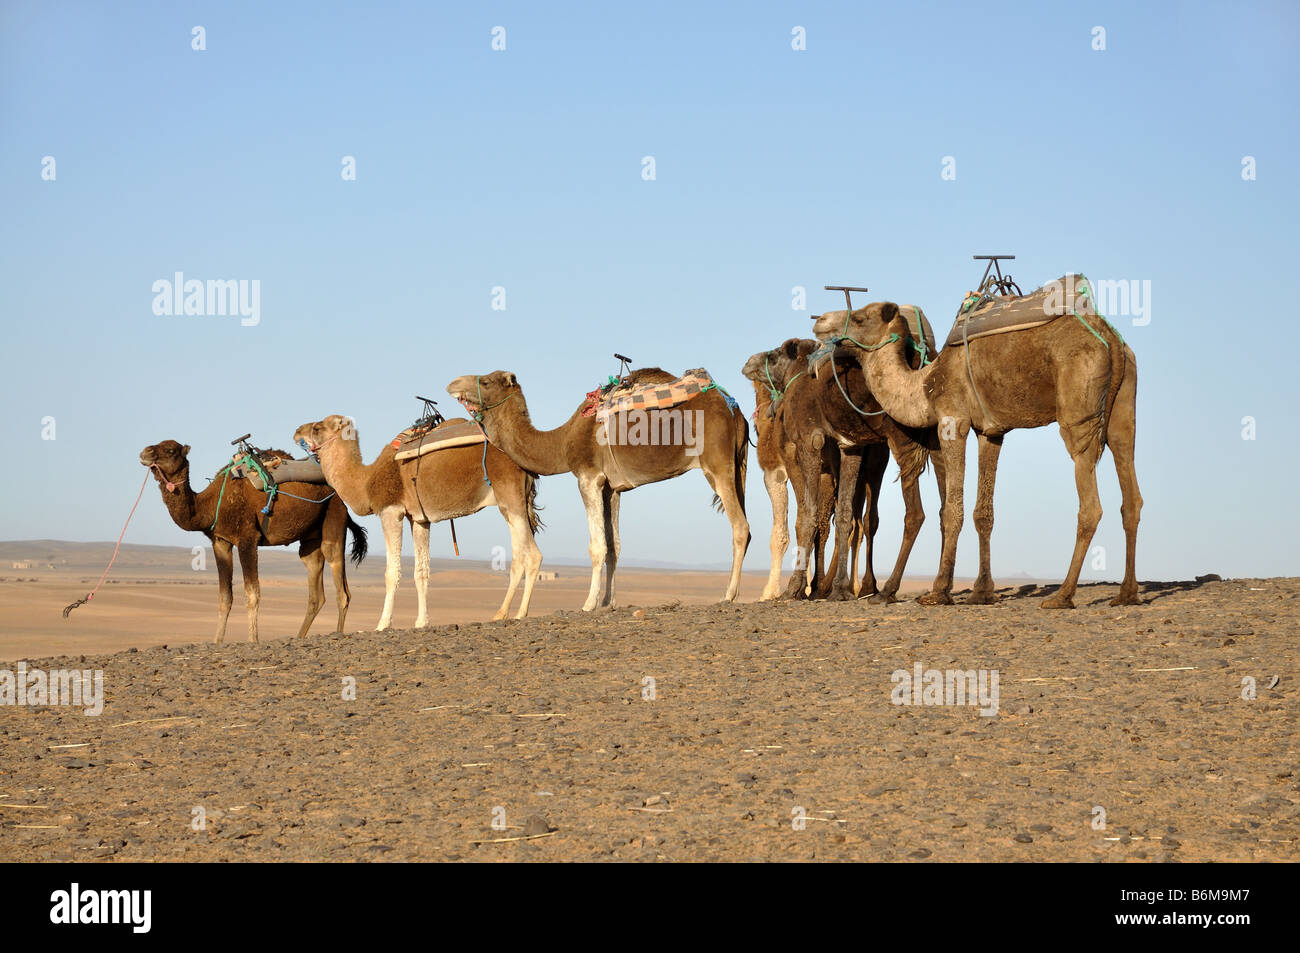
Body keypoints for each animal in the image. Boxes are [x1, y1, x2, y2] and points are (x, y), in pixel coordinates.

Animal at [139, 440, 367, 643]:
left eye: (170, 450)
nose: (145, 452)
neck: (211, 504)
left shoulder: (247, 538)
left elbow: (252, 594)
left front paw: (252, 639)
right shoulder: (220, 541)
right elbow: (225, 597)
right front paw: (217, 641)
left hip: (334, 515)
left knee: (340, 584)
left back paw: (337, 633)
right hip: (310, 538)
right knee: (315, 585)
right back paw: (299, 636)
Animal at [293, 415, 542, 629]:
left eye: (317, 427)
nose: (297, 431)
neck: (366, 480)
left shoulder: (390, 510)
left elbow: (392, 572)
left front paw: (382, 624)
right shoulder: (419, 519)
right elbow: (421, 572)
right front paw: (422, 622)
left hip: (509, 493)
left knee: (532, 555)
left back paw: (518, 613)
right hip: (513, 502)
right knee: (519, 555)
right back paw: (502, 613)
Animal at [446, 369, 750, 610]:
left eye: (485, 381)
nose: (452, 384)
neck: (562, 441)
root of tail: (734, 409)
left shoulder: (588, 476)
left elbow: (597, 546)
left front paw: (588, 603)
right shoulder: (612, 488)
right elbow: (614, 545)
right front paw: (607, 602)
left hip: (717, 463)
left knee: (740, 526)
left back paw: (729, 594)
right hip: (738, 466)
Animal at [748, 337, 945, 602]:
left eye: (774, 354)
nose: (748, 363)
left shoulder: (801, 450)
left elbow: (806, 517)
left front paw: (795, 588)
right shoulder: (847, 450)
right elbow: (840, 517)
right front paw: (833, 587)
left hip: (900, 437)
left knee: (914, 513)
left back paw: (886, 589)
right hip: (914, 444)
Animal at [813, 300, 1141, 608]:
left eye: (859, 318)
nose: (820, 321)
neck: (925, 385)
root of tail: (1111, 340)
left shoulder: (952, 420)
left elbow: (952, 509)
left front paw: (938, 591)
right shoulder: (990, 432)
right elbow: (983, 512)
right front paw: (982, 591)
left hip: (1078, 405)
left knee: (1090, 503)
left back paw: (1062, 595)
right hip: (1124, 402)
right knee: (1129, 485)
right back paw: (1127, 593)